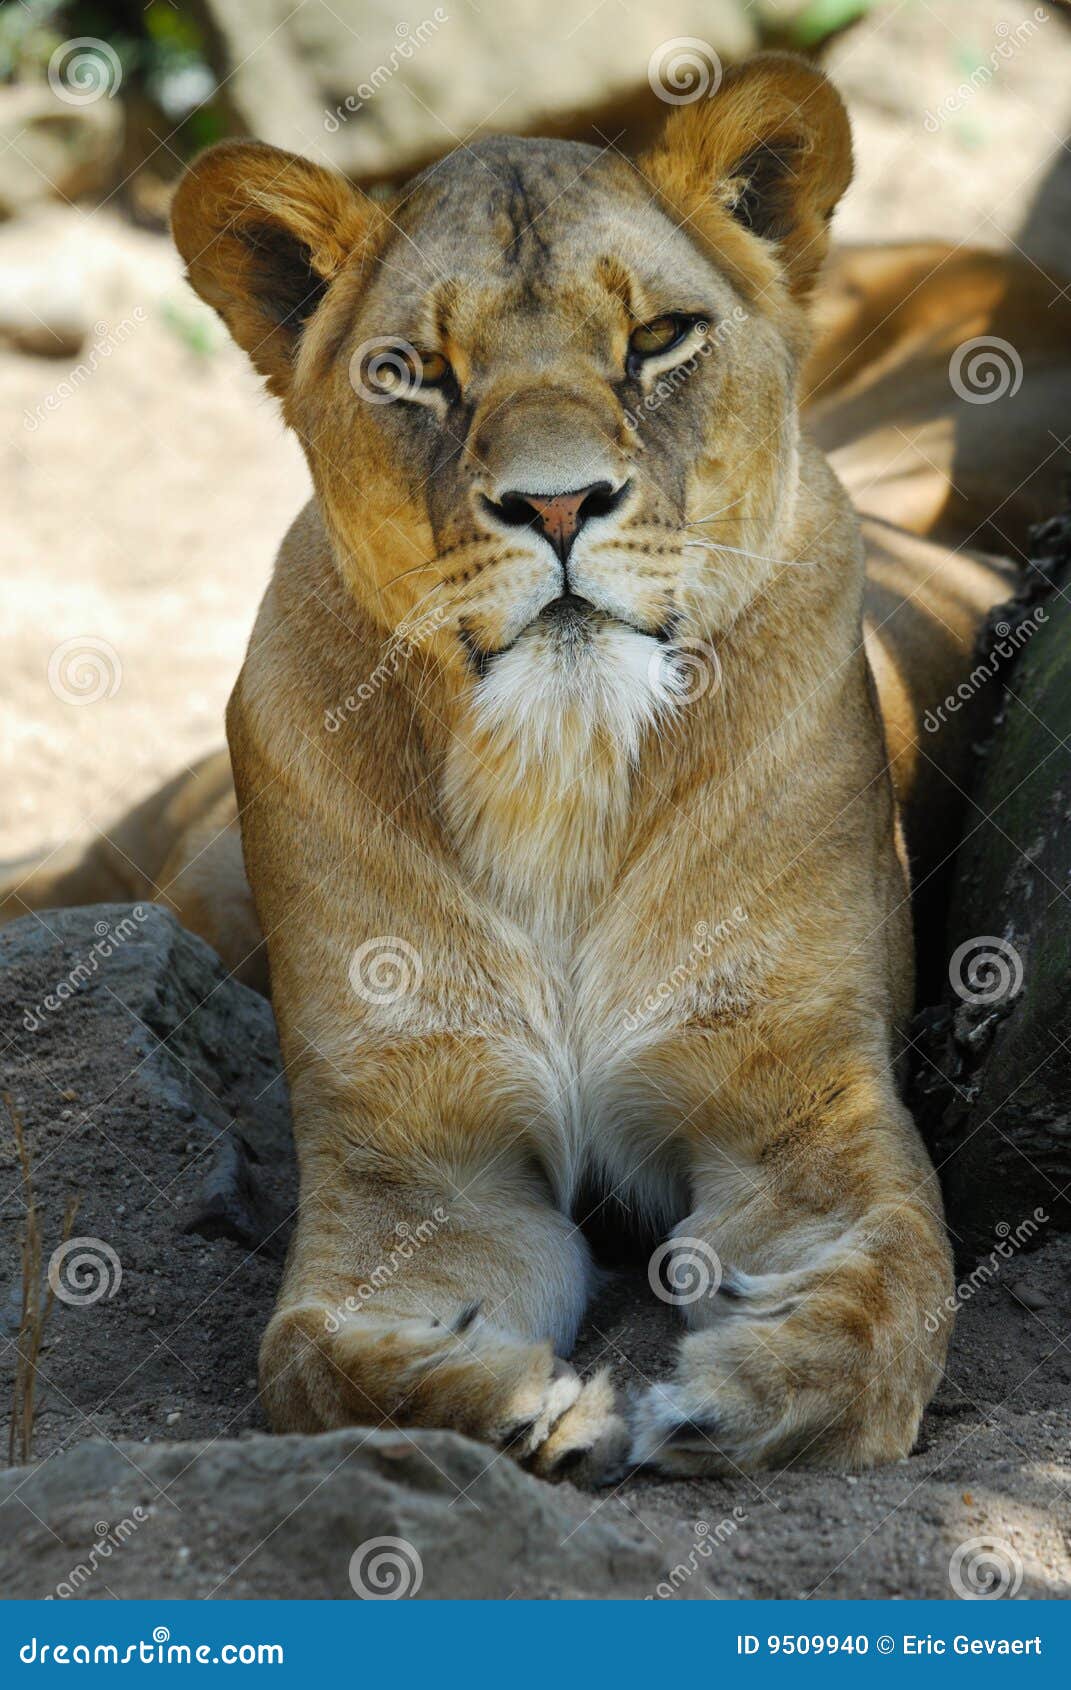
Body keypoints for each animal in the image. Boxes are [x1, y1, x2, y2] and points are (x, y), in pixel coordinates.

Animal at [7, 54, 1071, 1479]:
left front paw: (736, 1394)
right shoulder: (416, 1166)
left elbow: (896, 1287)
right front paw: (502, 1395)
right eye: (412, 372)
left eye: (659, 339)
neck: (561, 766)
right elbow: (310, 1356)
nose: (556, 505)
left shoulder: (807, 1103)